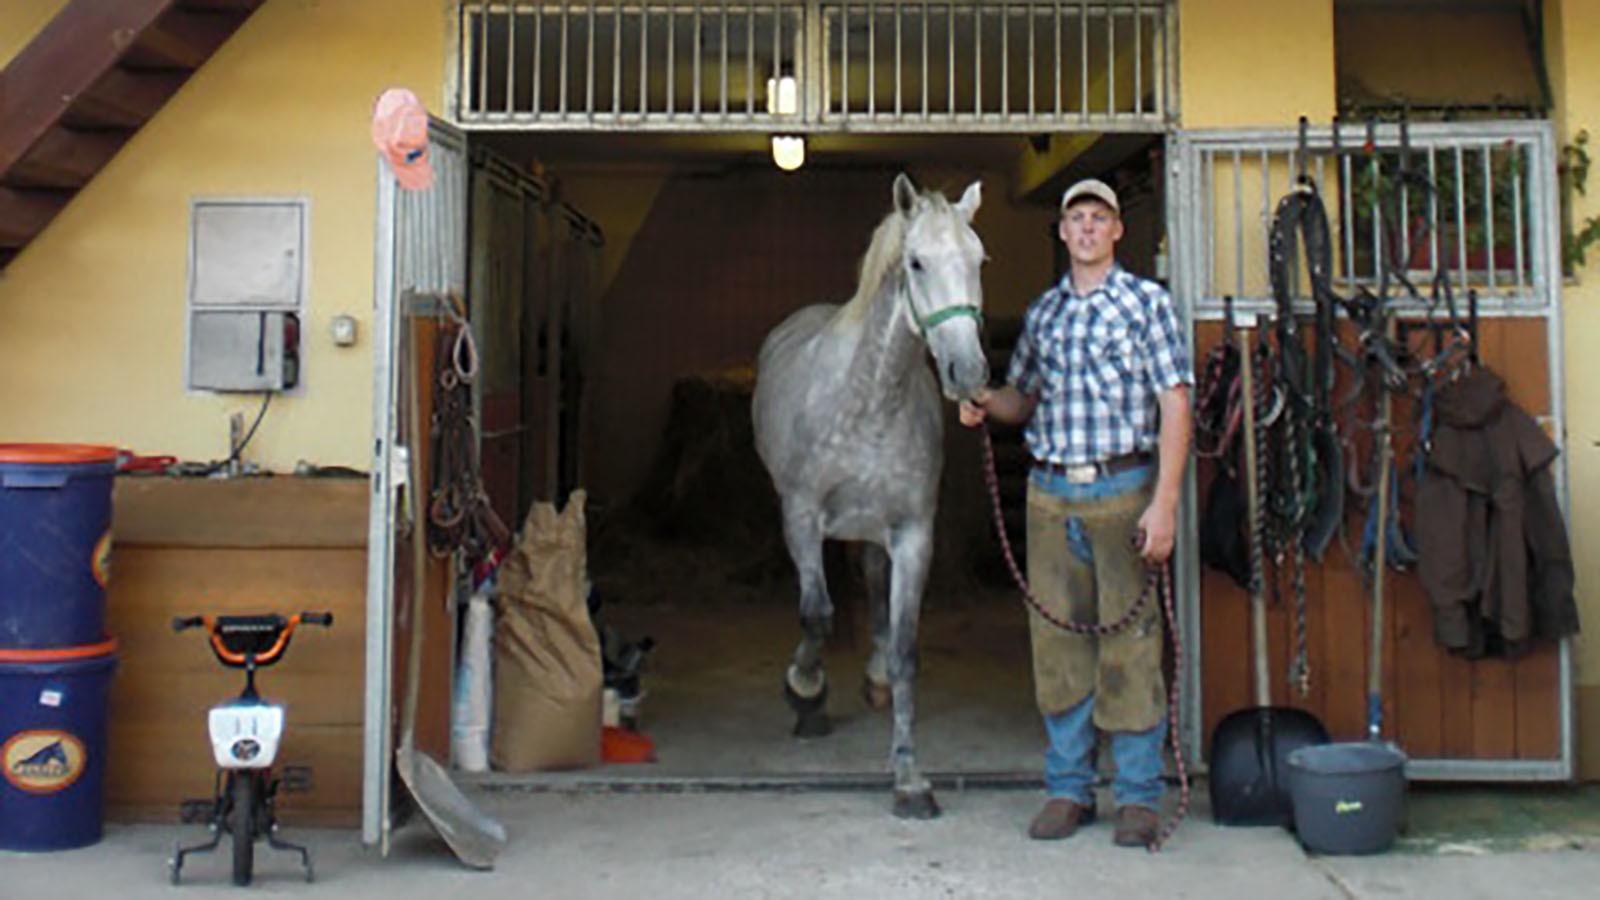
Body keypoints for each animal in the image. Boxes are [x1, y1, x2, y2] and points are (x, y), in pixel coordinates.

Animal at [752, 174, 989, 818]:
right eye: (916, 262)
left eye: (979, 261)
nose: (968, 372)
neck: (869, 401)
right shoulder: (801, 518)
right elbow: (817, 615)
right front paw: (804, 692)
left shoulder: (912, 533)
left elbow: (906, 646)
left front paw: (909, 777)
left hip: (875, 532)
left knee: (876, 583)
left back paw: (876, 675)